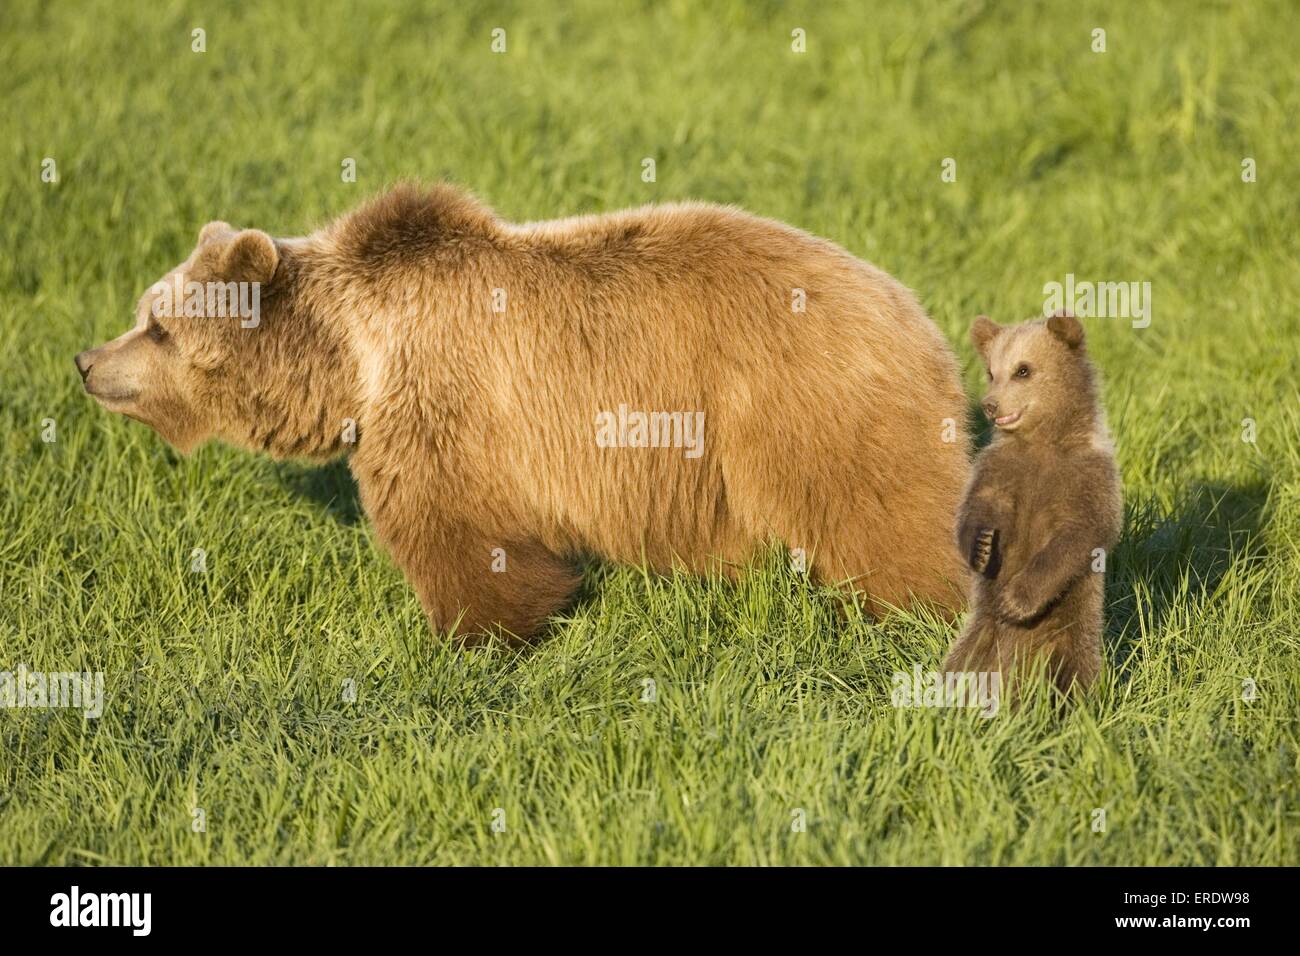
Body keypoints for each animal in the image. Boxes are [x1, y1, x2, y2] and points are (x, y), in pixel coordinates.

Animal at [76, 183, 971, 642]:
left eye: (159, 324)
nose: (87, 362)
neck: (354, 356)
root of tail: (921, 319)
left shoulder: (446, 405)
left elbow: (461, 536)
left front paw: (473, 636)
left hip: (808, 411)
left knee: (885, 522)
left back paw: (929, 612)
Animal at [942, 312, 1123, 694]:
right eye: (991, 371)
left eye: (1023, 370)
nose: (990, 404)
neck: (1043, 442)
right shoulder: (1001, 469)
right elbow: (977, 507)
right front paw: (980, 548)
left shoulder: (1089, 478)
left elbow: (1077, 536)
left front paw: (1015, 601)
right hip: (978, 635)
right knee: (957, 668)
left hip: (1071, 633)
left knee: (1075, 674)